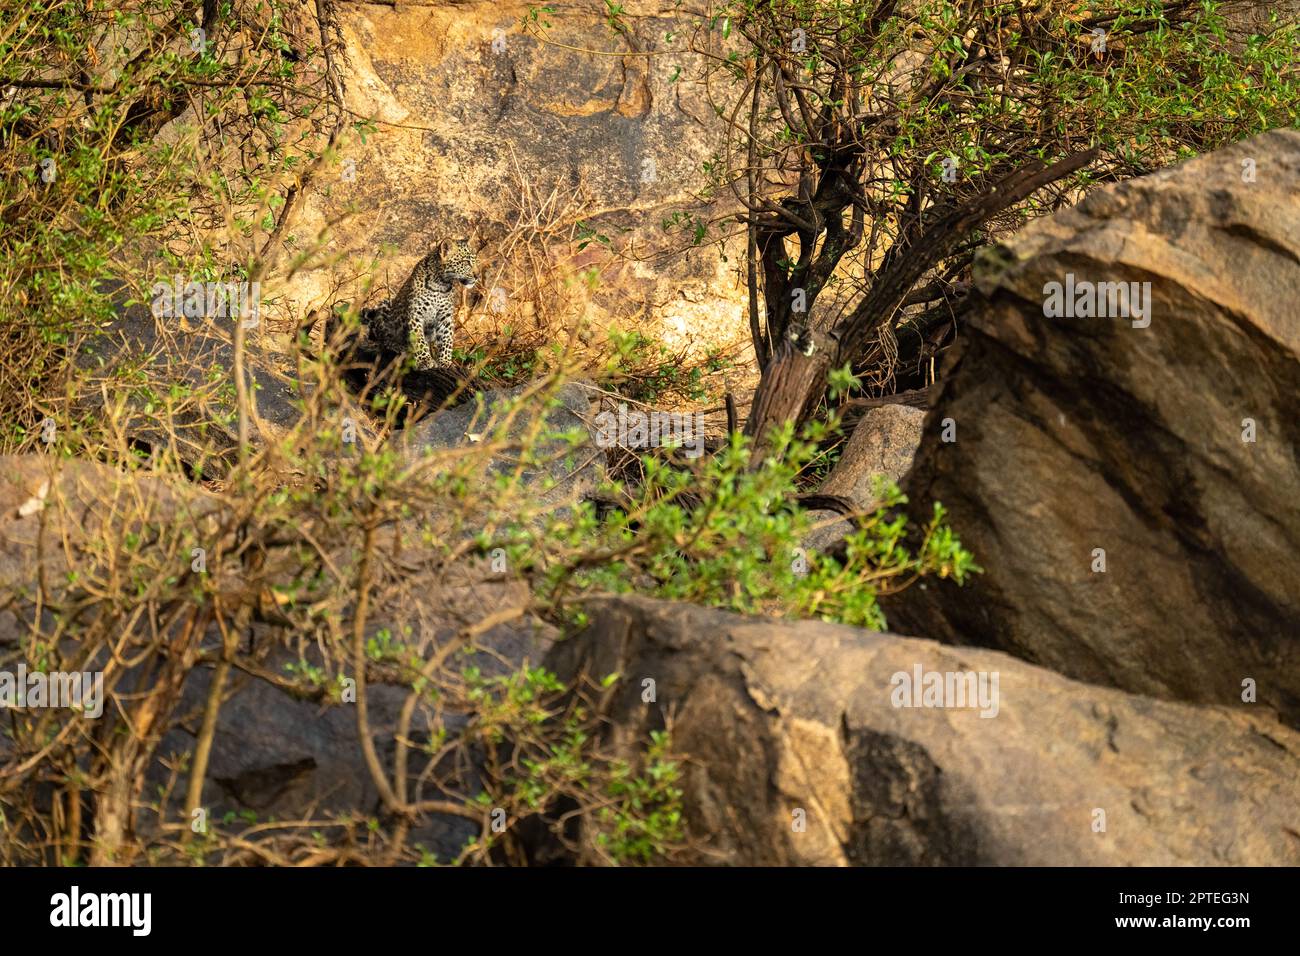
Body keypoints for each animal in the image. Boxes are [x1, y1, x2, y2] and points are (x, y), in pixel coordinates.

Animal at [361, 237, 477, 370]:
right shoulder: (415, 313)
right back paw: (398, 346)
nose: (477, 276)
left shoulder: (445, 316)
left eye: (475, 261)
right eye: (466, 262)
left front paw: (445, 362)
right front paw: (425, 361)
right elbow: (419, 339)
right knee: (383, 337)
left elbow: (447, 339)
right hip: (385, 305)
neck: (440, 284)